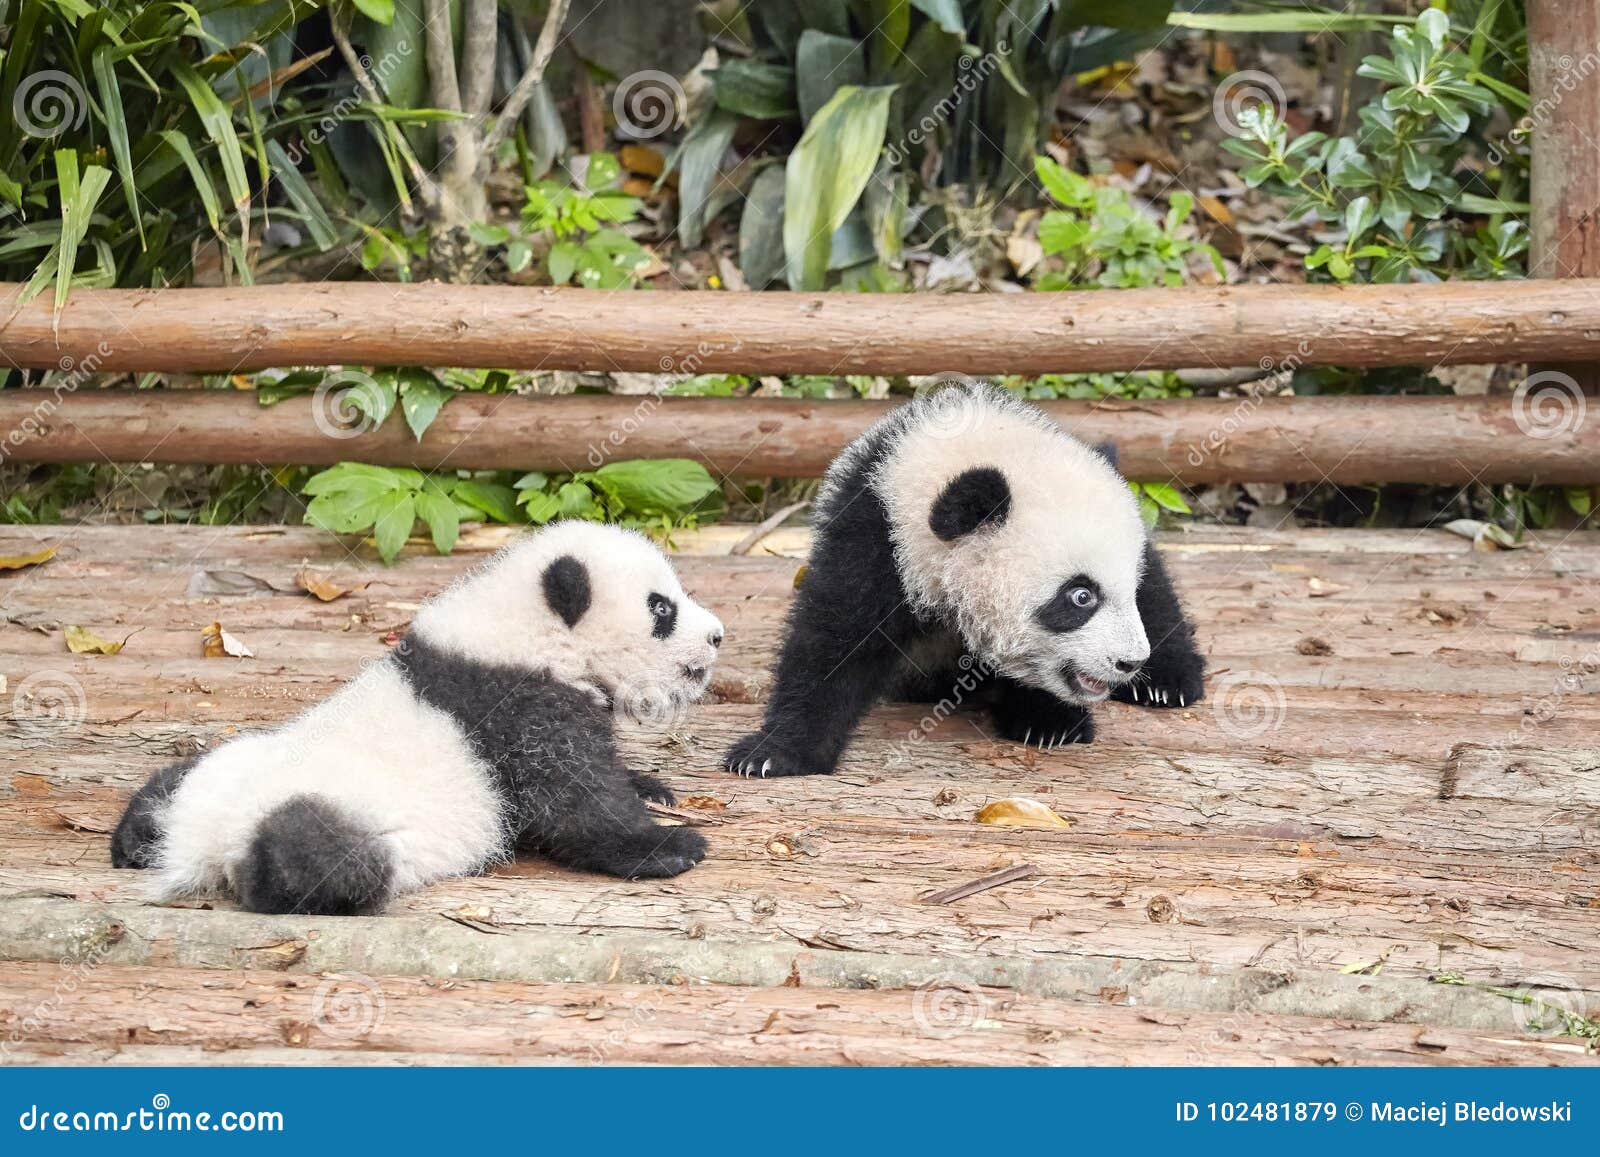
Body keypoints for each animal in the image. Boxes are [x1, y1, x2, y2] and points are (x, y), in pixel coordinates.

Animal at [111, 521, 725, 915]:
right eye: (662, 608)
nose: (717, 636)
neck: (526, 635)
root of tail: (197, 840)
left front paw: (652, 788)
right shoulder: (516, 706)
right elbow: (576, 801)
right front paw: (669, 847)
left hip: (227, 763)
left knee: (172, 780)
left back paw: (133, 840)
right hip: (326, 814)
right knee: (321, 854)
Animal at [725, 381, 1204, 778]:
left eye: (1128, 587)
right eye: (1081, 597)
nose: (1130, 662)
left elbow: (1156, 587)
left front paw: (1049, 719)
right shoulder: (877, 535)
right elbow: (834, 640)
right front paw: (775, 754)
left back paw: (1166, 684)